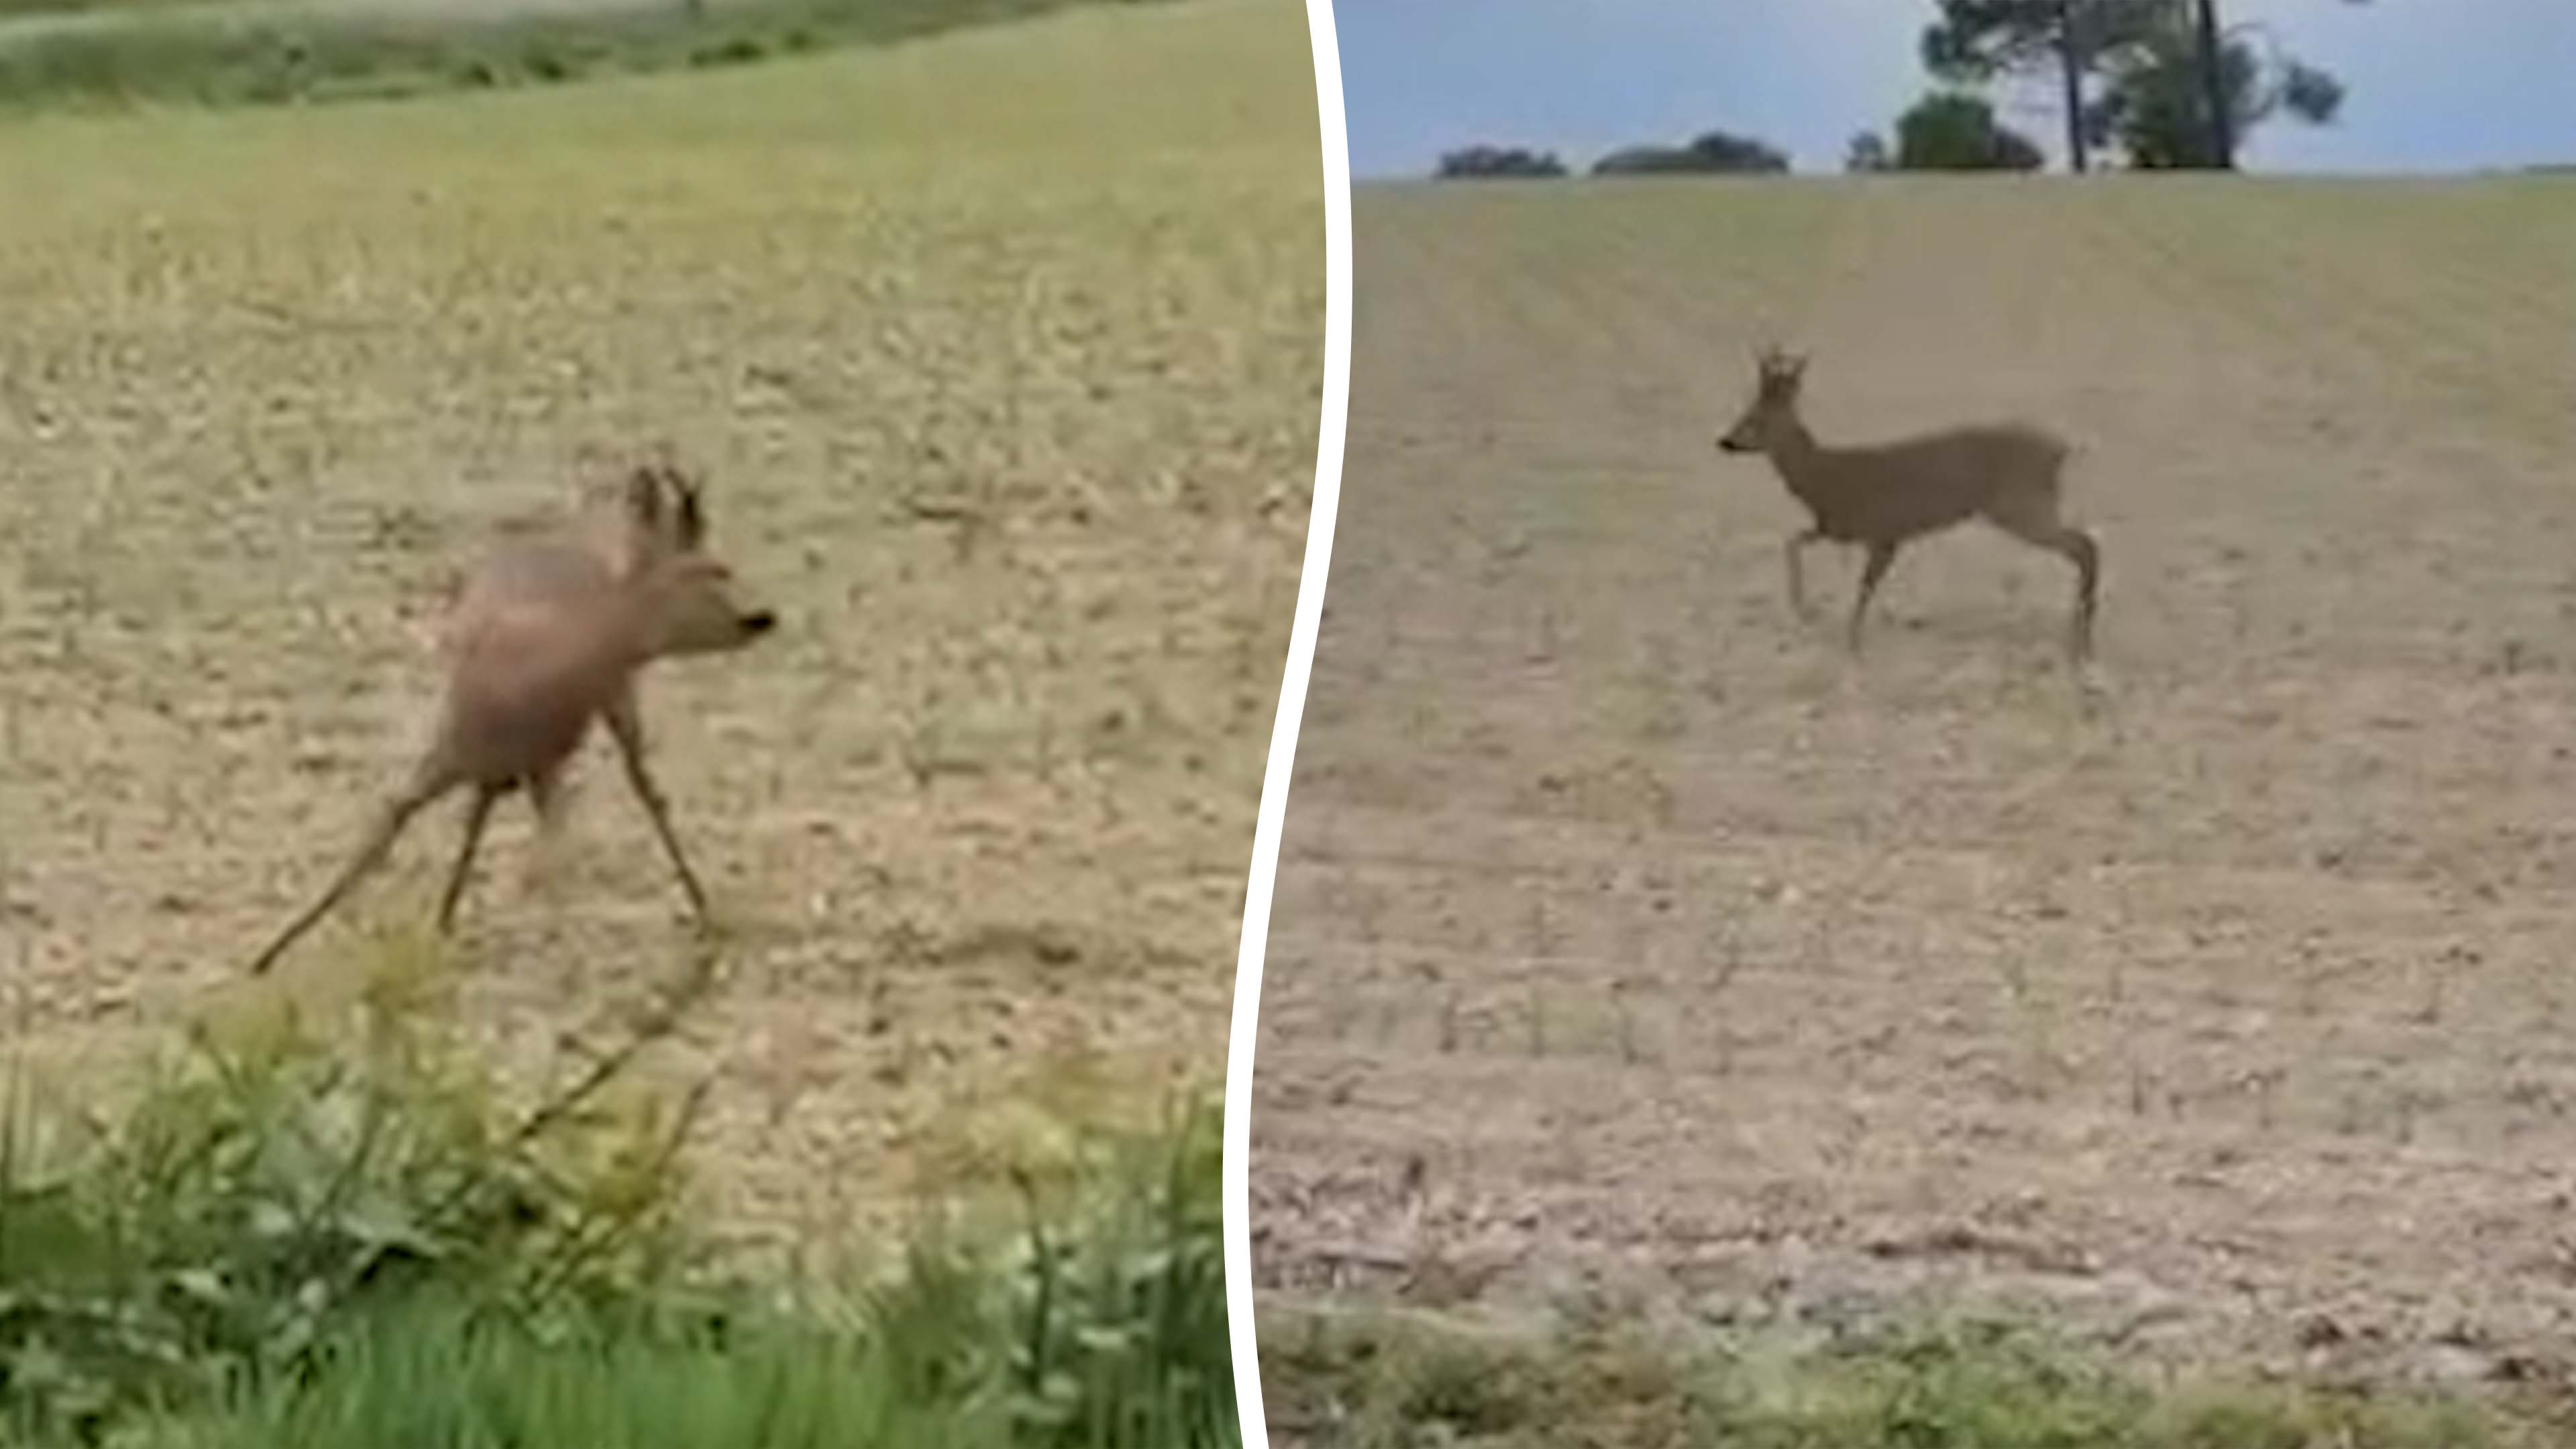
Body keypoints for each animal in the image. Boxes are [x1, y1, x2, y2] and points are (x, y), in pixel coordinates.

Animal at [247, 454, 776, 976]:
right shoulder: (485, 743)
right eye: (708, 569)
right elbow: (394, 822)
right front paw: (272, 951)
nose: (760, 619)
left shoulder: (549, 746)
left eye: (721, 566)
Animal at [1716, 347, 2100, 662]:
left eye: (1753, 420)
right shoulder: (1836, 529)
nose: (1725, 441)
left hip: (2022, 504)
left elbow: (1864, 585)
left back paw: (2082, 638)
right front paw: (1804, 610)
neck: (1824, 478)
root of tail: (2061, 450)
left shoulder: (1885, 533)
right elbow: (1793, 542)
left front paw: (1851, 642)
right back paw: (2082, 633)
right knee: (2085, 544)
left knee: (2085, 545)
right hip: (2027, 505)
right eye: (1747, 412)